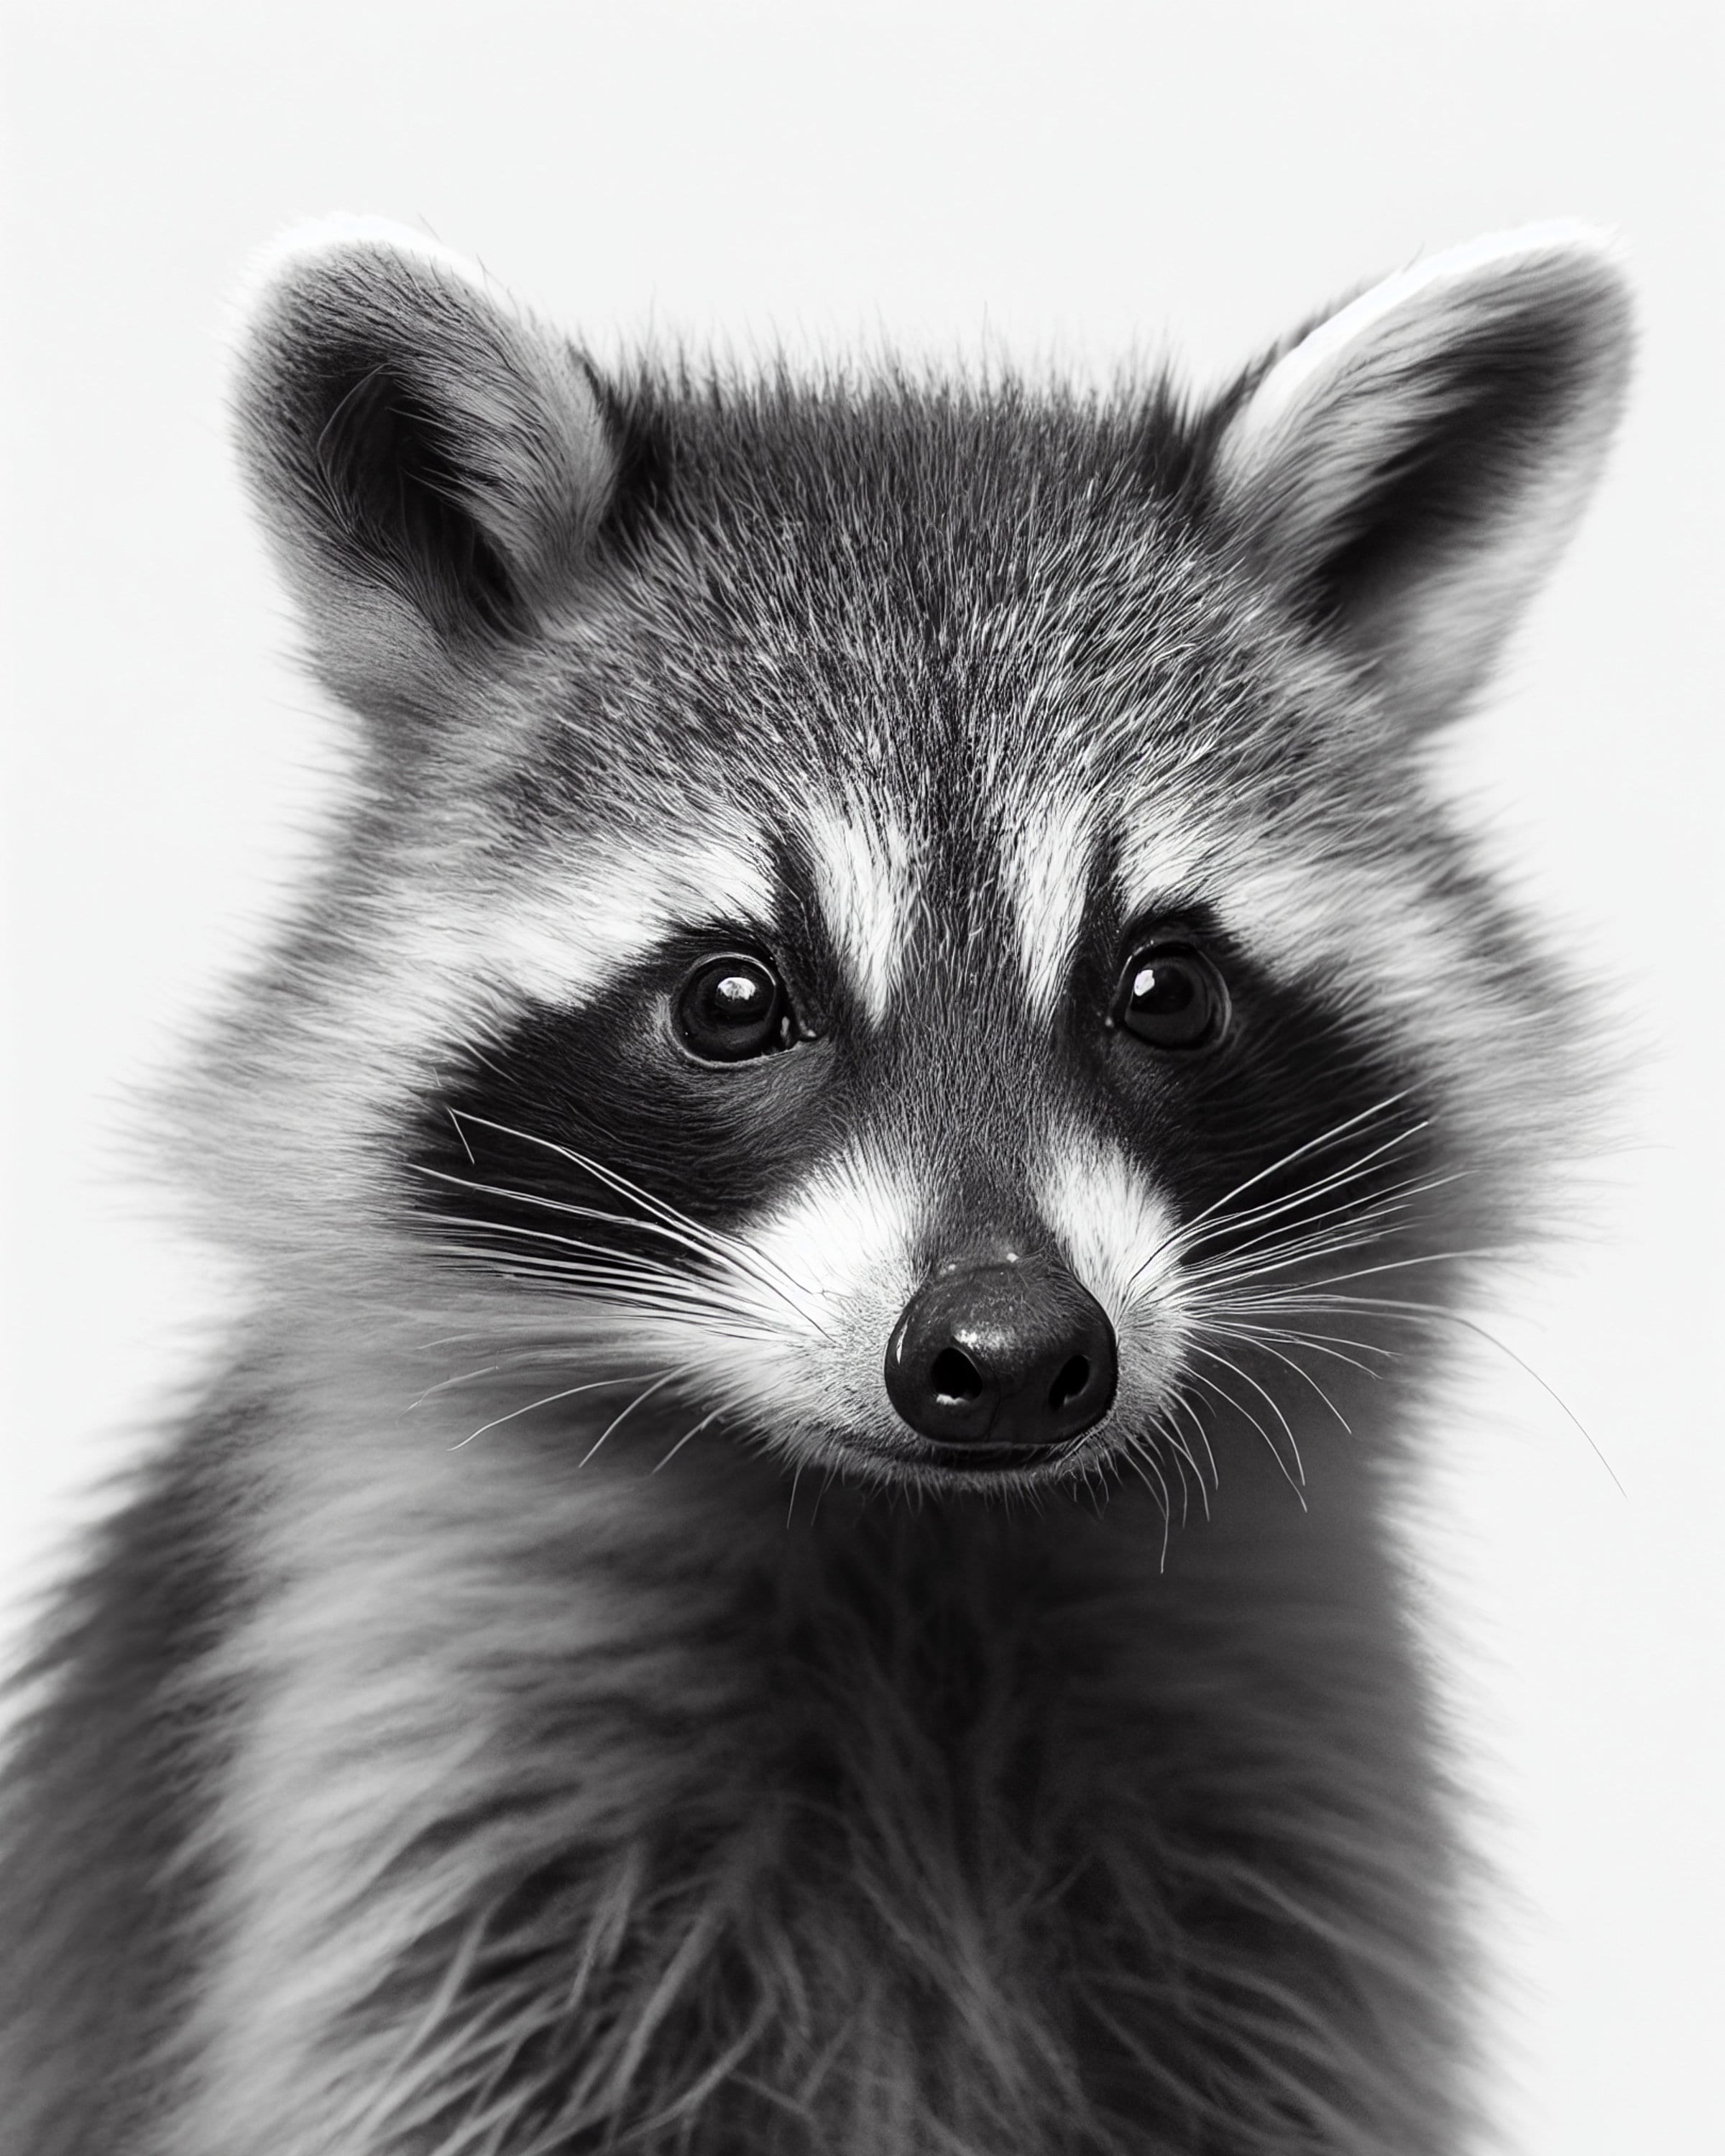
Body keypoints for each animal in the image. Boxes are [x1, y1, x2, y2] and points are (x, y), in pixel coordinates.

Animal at [0, 220, 1630, 2156]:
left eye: (1162, 986)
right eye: (733, 996)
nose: (1010, 1351)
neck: (915, 1553)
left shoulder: (1282, 1866)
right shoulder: (419, 1843)